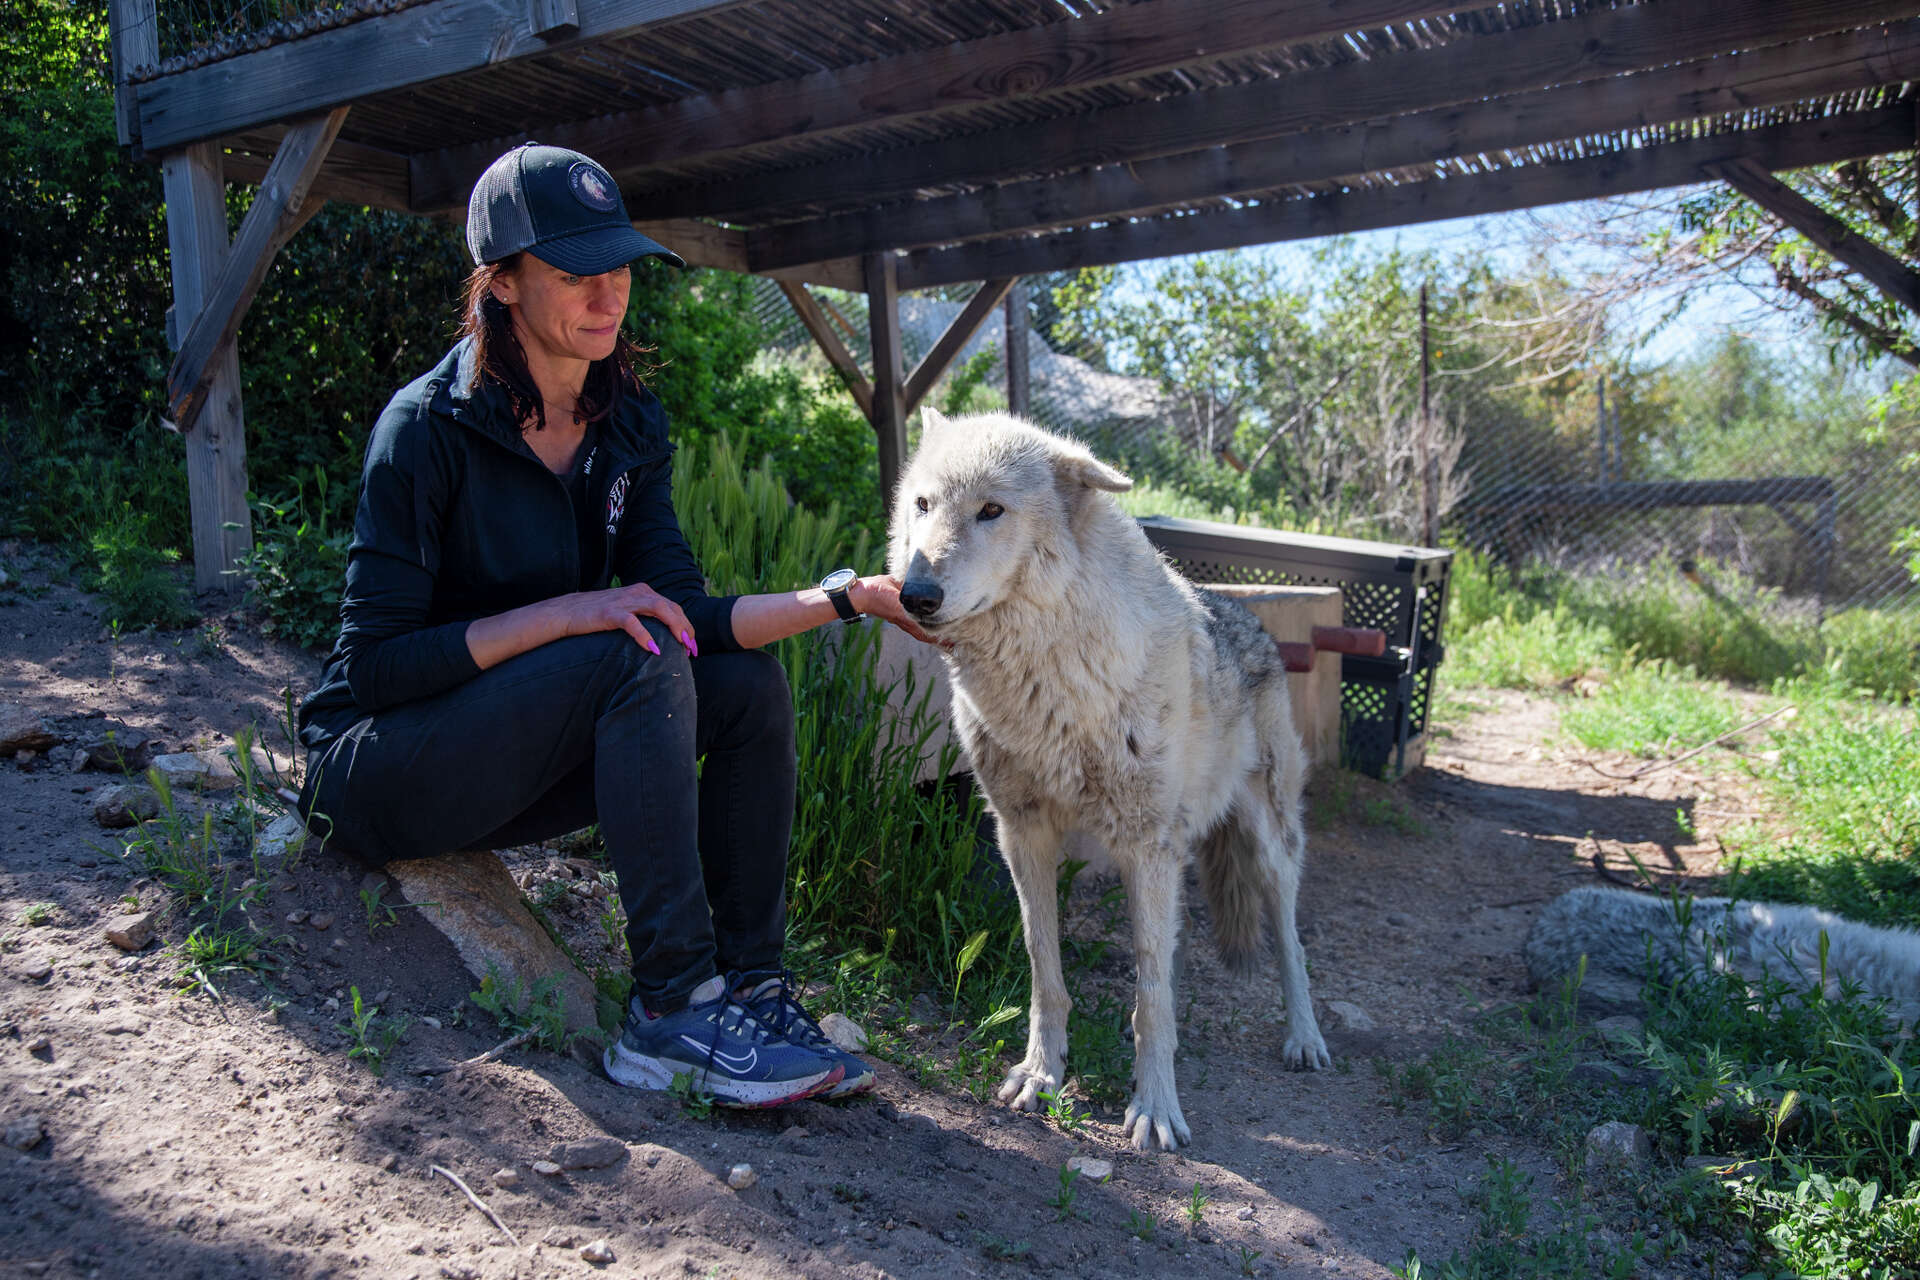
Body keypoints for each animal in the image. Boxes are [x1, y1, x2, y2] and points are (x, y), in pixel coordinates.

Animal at [888, 410, 1330, 1151]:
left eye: (991, 511)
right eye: (922, 505)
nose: (916, 594)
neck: (1047, 678)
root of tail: (1249, 613)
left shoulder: (1145, 845)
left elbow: (1150, 1000)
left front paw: (1155, 1108)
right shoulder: (1022, 833)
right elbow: (1045, 970)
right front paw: (1042, 1074)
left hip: (1267, 846)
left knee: (1290, 942)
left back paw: (1305, 1038)